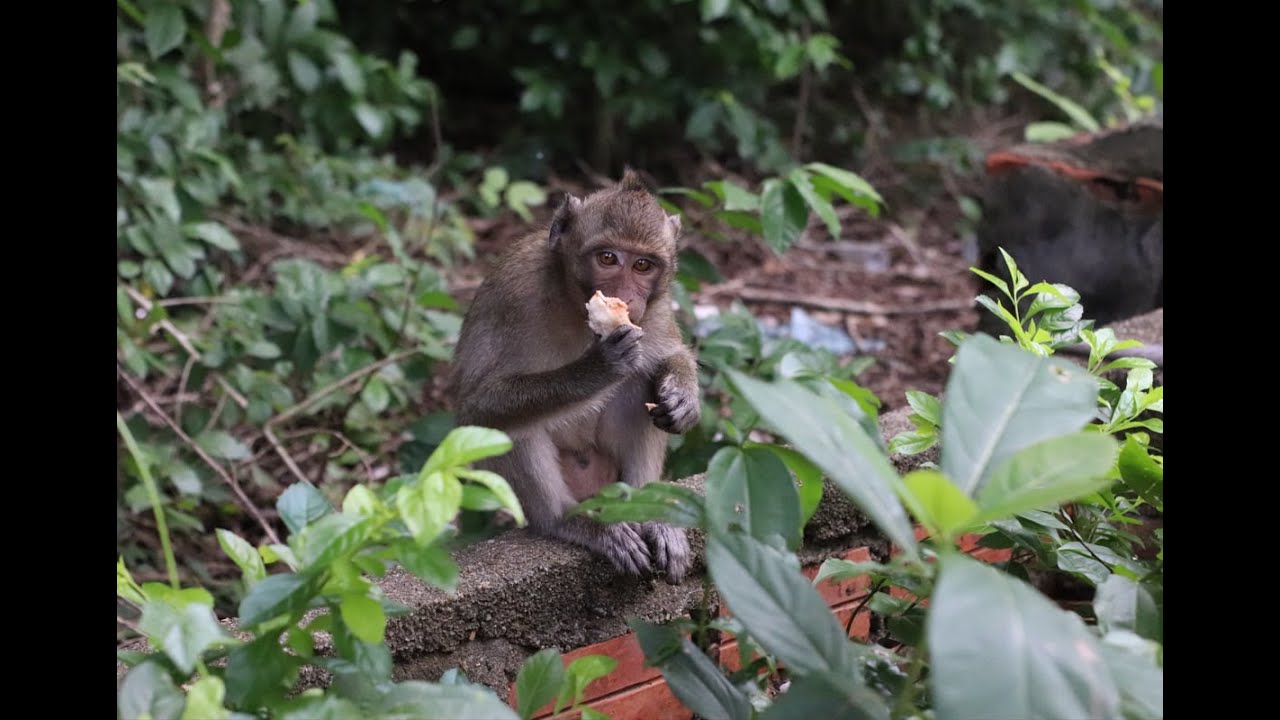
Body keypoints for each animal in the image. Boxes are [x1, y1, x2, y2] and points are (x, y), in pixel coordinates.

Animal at [447, 169, 701, 583]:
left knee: (640, 382)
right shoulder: (516, 294)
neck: (573, 300)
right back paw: (570, 522)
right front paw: (598, 367)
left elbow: (667, 355)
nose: (625, 297)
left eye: (643, 265)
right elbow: (479, 407)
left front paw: (683, 396)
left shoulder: (658, 306)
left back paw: (649, 512)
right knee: (515, 427)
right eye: (608, 258)